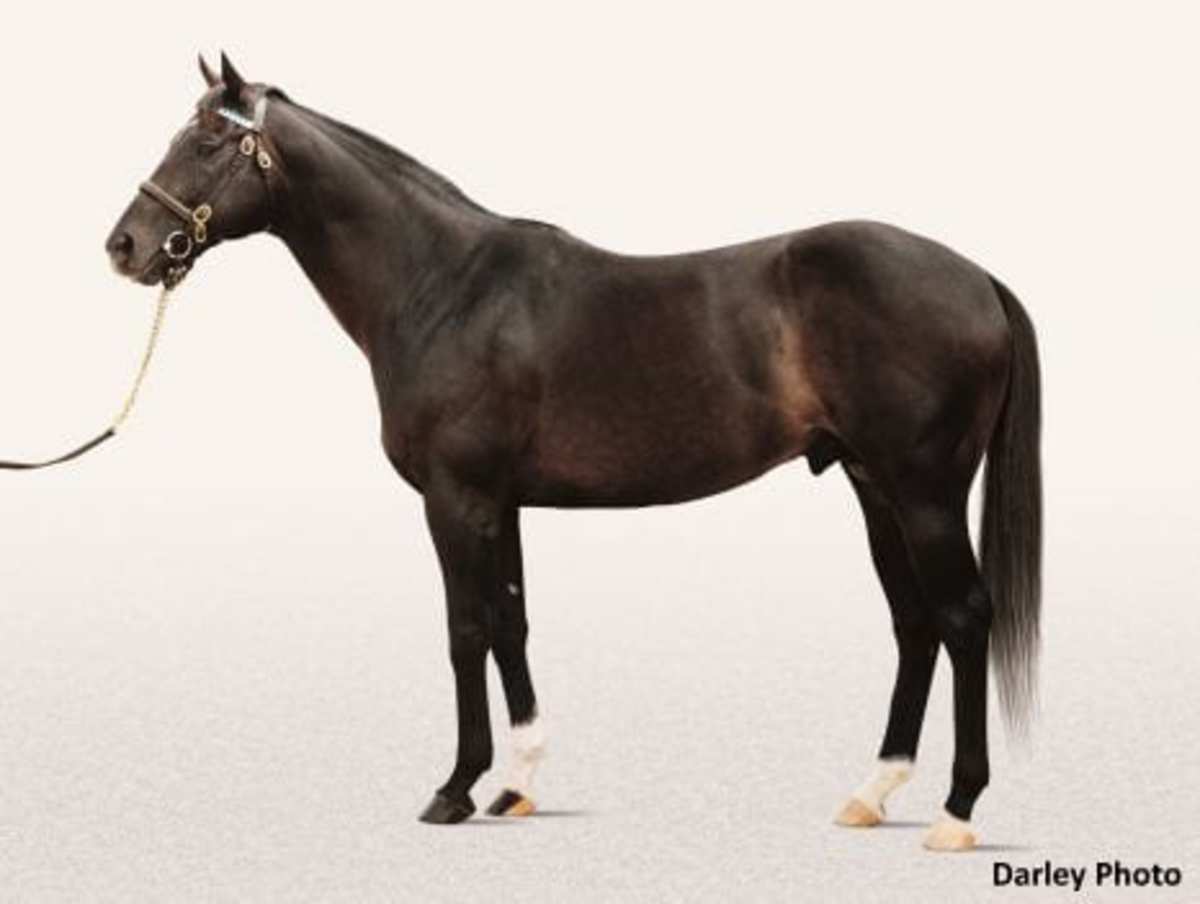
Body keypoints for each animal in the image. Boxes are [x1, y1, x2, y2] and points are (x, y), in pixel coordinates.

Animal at [105, 54, 1041, 852]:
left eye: (208, 142)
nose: (125, 246)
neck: (446, 287)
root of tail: (978, 278)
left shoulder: (453, 497)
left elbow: (465, 629)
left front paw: (454, 788)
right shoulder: (500, 501)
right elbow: (511, 622)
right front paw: (516, 785)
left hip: (924, 491)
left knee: (964, 619)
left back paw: (956, 812)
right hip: (872, 484)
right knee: (915, 624)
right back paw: (872, 794)